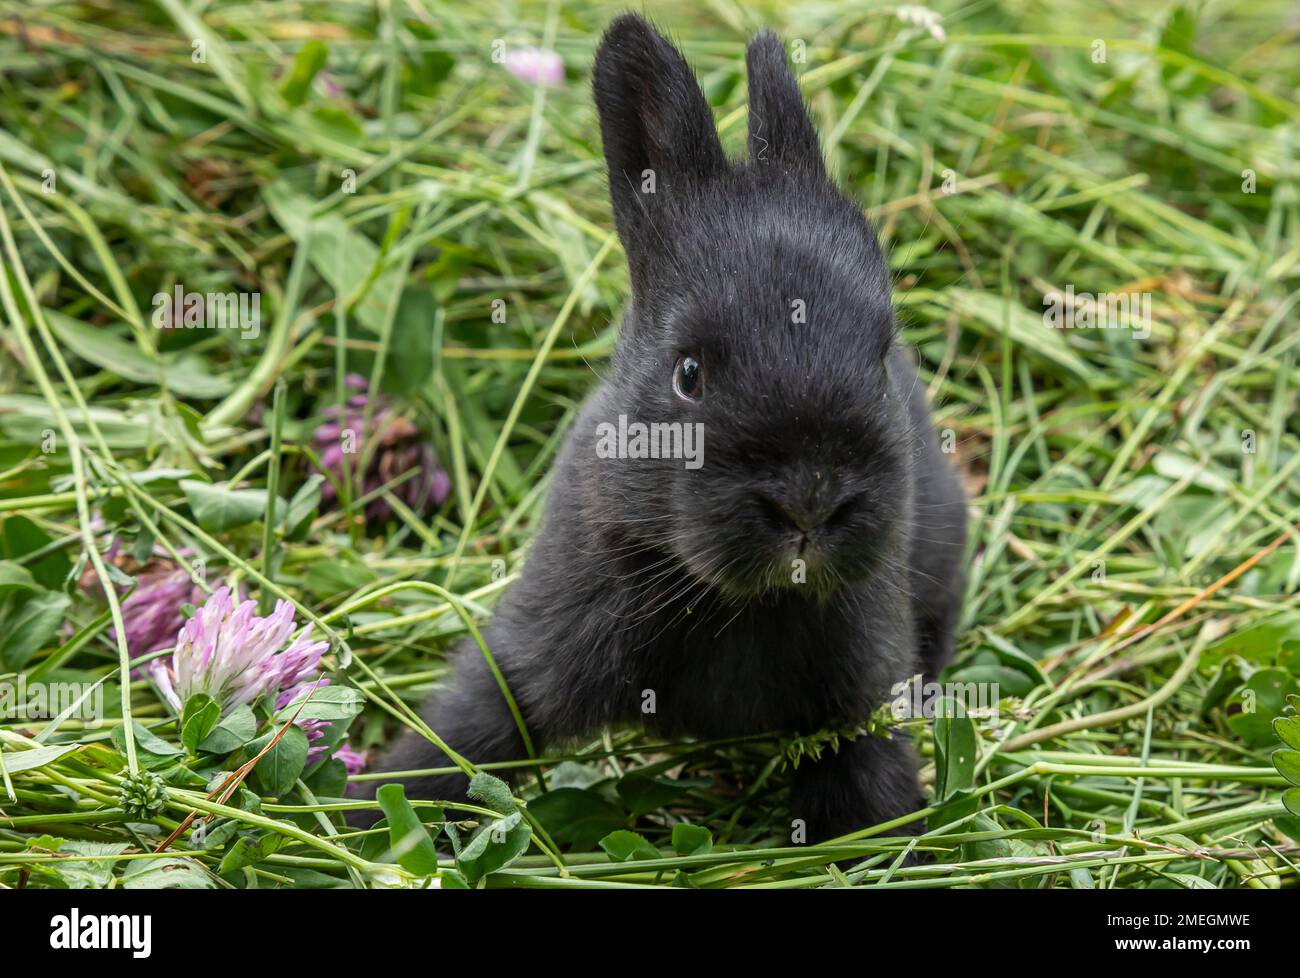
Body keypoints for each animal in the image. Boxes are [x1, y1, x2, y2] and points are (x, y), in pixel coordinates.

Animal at [352, 14, 968, 844]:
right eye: (688, 372)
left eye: (879, 359)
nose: (809, 505)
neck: (736, 602)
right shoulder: (531, 654)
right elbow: (470, 727)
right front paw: (366, 811)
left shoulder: (863, 697)